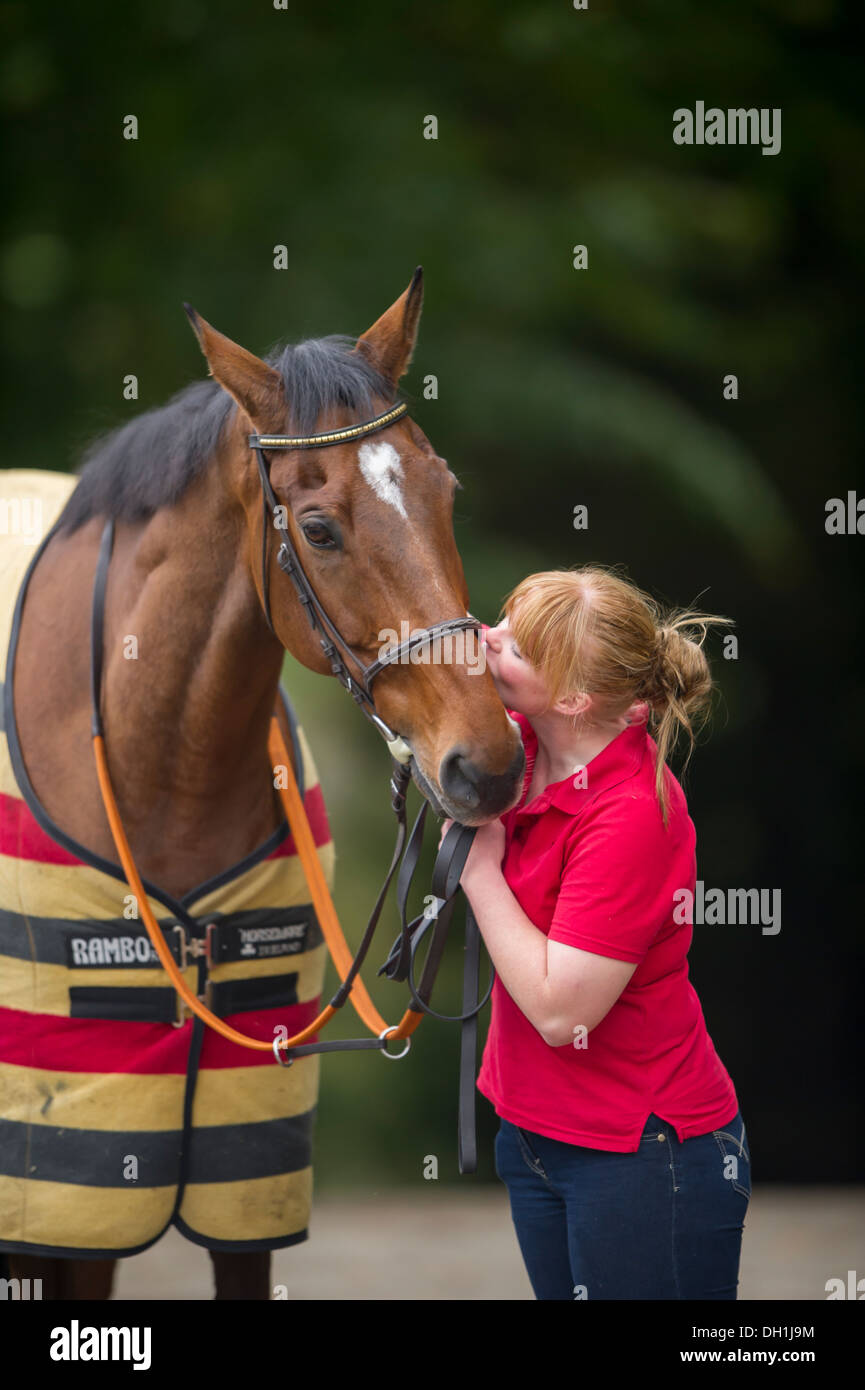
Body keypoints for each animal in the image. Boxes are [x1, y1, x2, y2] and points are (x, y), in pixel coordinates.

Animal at [0, 268, 525, 1299]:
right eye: (317, 530)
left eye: (445, 491)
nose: (486, 764)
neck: (162, 769)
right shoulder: (71, 1197)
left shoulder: (244, 1188)